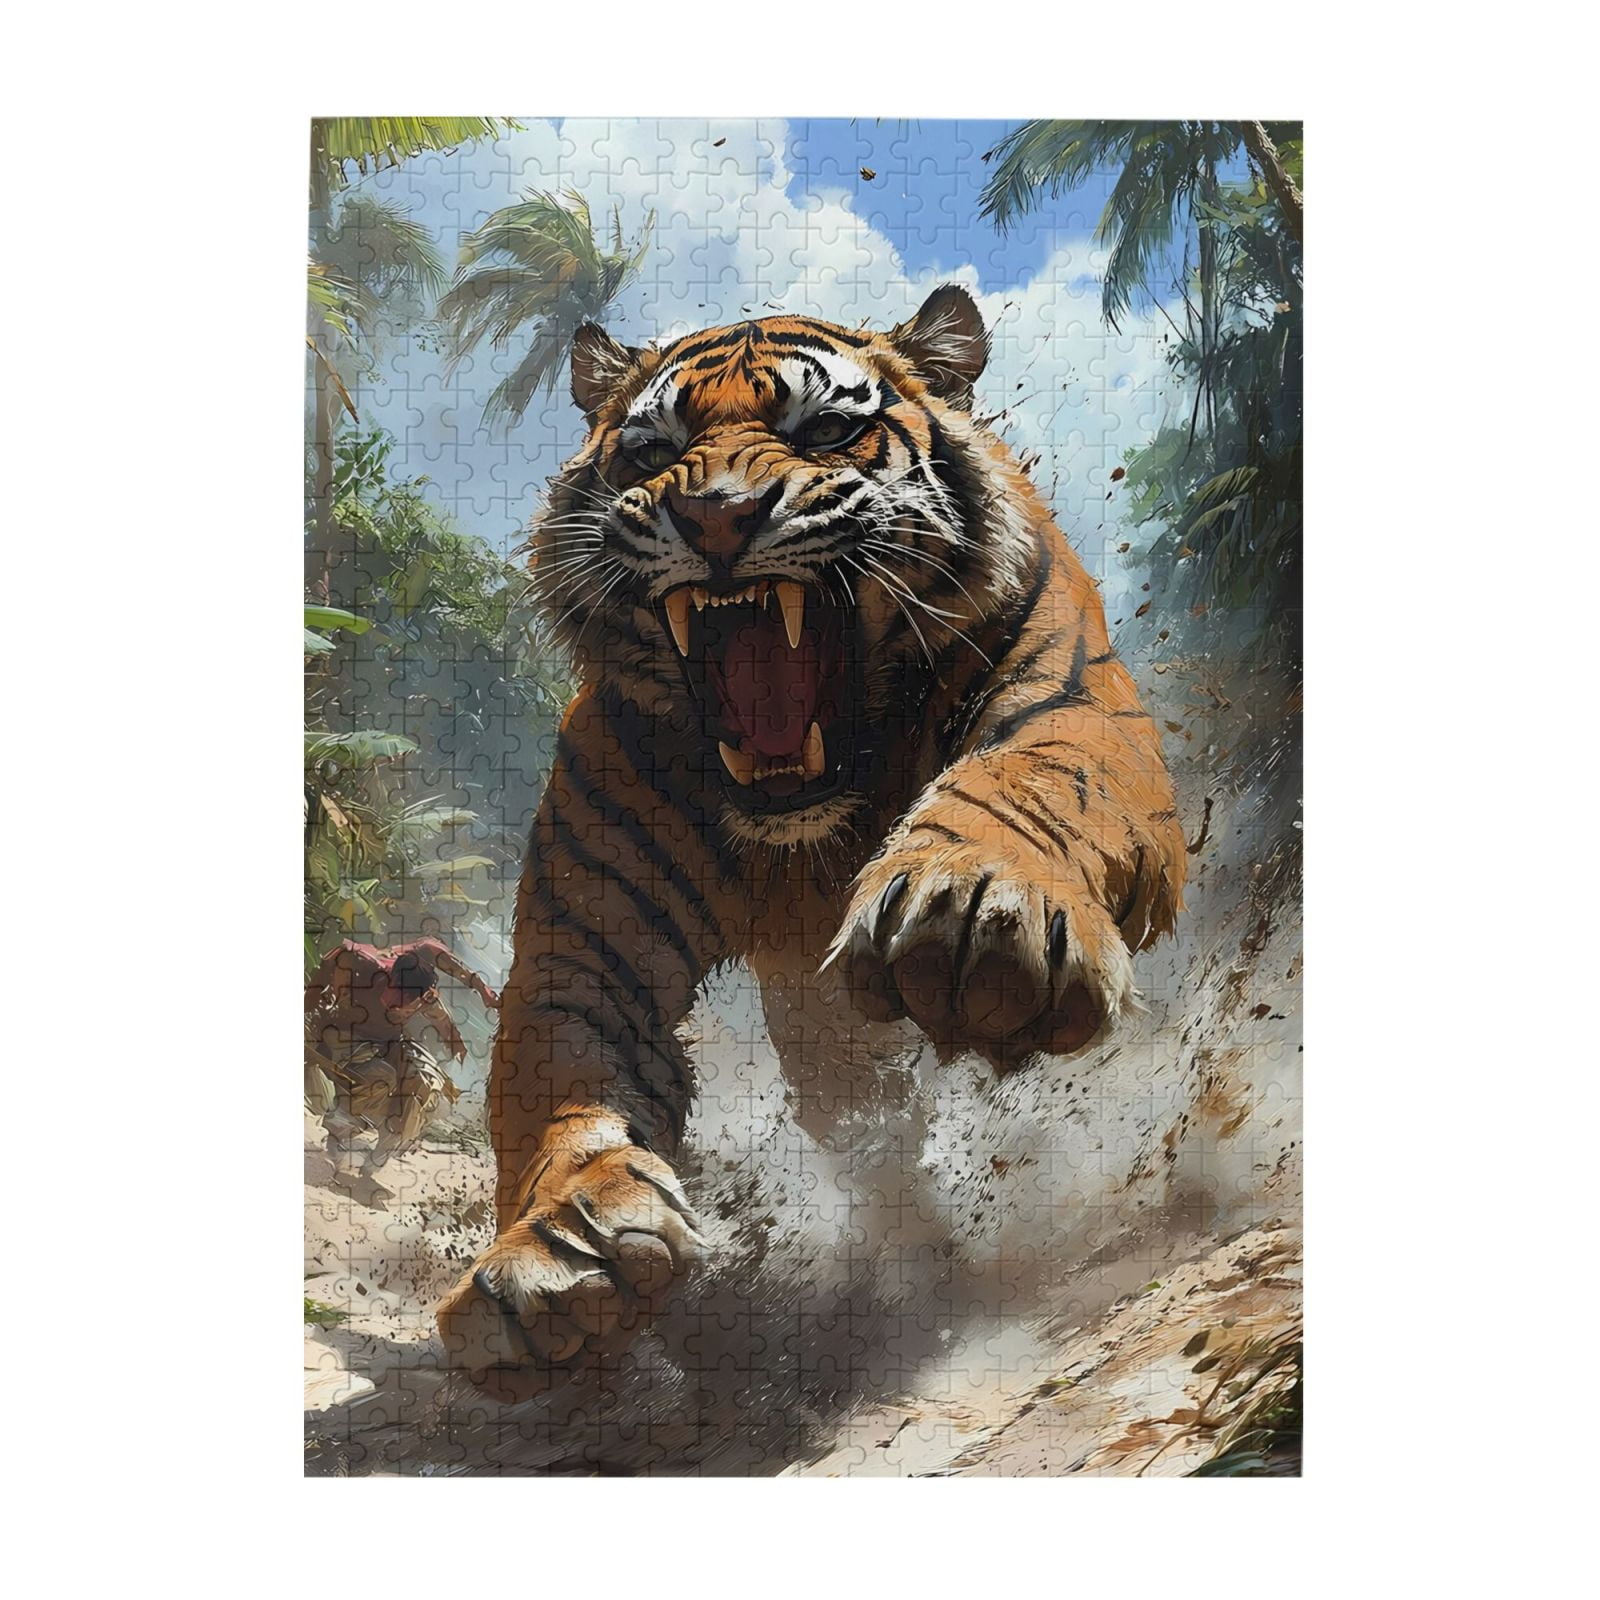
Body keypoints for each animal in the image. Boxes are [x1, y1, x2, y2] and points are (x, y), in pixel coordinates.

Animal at [437, 285, 1186, 1381]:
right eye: (649, 451)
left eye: (826, 430)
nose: (714, 517)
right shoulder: (584, 950)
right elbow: (556, 1093)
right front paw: (561, 1253)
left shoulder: (1074, 711)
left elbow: (1026, 787)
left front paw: (975, 913)